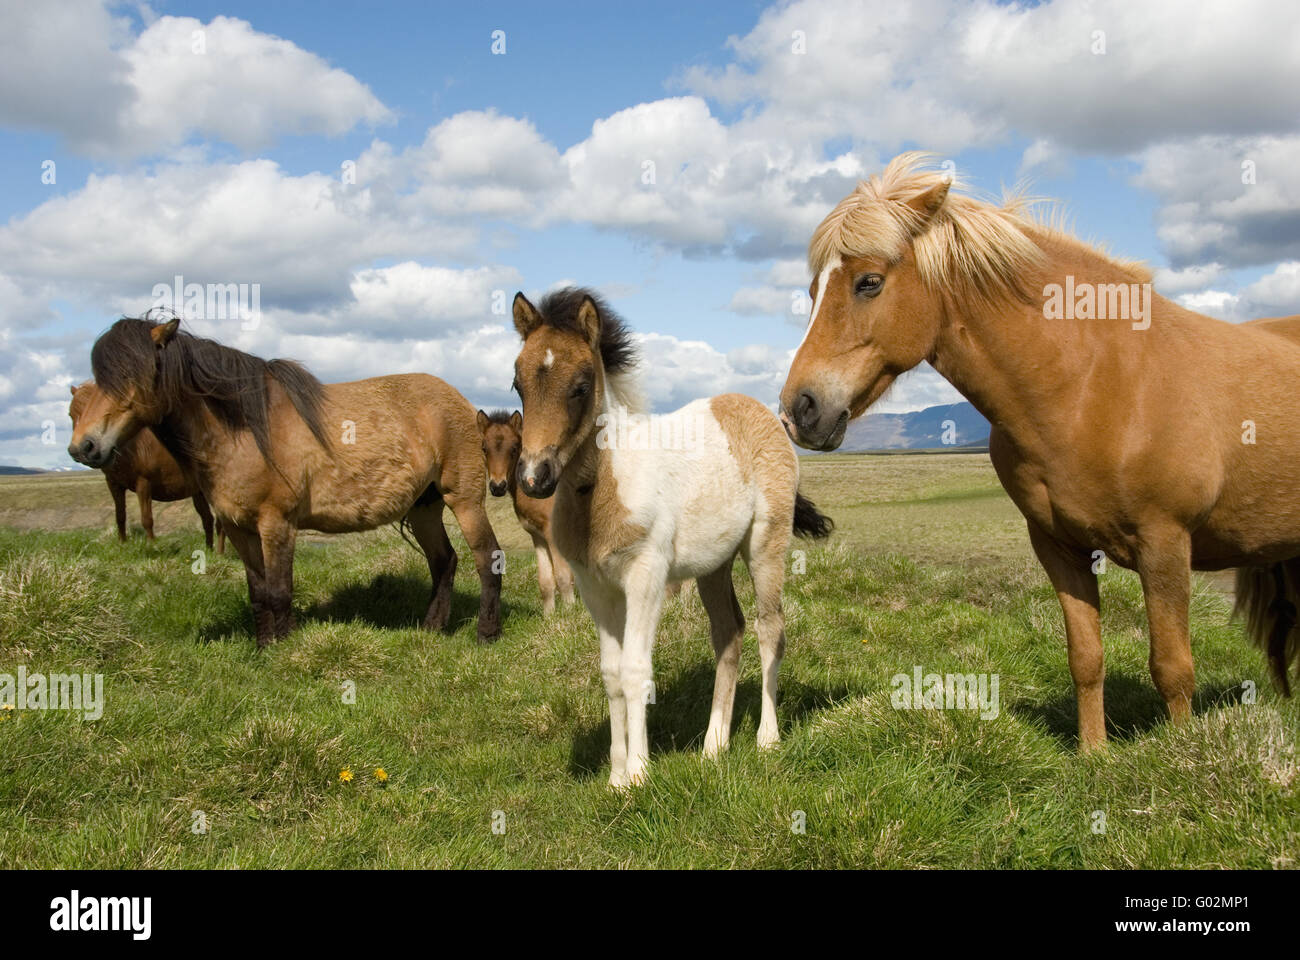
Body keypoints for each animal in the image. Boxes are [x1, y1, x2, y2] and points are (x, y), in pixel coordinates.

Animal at [69, 381, 224, 553]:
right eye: (71, 414)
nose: (80, 450)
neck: (131, 446)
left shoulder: (143, 484)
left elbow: (147, 519)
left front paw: (152, 546)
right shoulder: (114, 484)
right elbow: (120, 516)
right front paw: (122, 544)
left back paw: (219, 553)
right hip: (198, 492)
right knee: (207, 519)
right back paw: (208, 550)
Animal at [477, 409, 576, 616]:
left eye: (515, 448)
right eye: (484, 448)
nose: (497, 487)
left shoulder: (553, 535)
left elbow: (563, 576)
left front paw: (570, 614)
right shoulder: (537, 536)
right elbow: (545, 581)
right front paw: (549, 617)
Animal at [510, 287, 832, 787]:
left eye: (581, 386)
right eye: (518, 385)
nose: (534, 478)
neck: (600, 489)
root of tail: (761, 412)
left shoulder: (646, 576)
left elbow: (635, 669)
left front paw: (638, 775)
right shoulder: (594, 586)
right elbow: (610, 674)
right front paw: (615, 777)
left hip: (766, 546)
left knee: (770, 630)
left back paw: (767, 739)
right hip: (714, 565)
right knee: (729, 633)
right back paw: (713, 747)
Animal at [779, 152, 1300, 751]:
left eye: (869, 283)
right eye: (813, 290)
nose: (799, 410)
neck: (1092, 385)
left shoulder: (1165, 545)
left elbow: (1172, 668)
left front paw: (1182, 754)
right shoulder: (1059, 548)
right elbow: (1086, 658)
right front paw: (1095, 756)